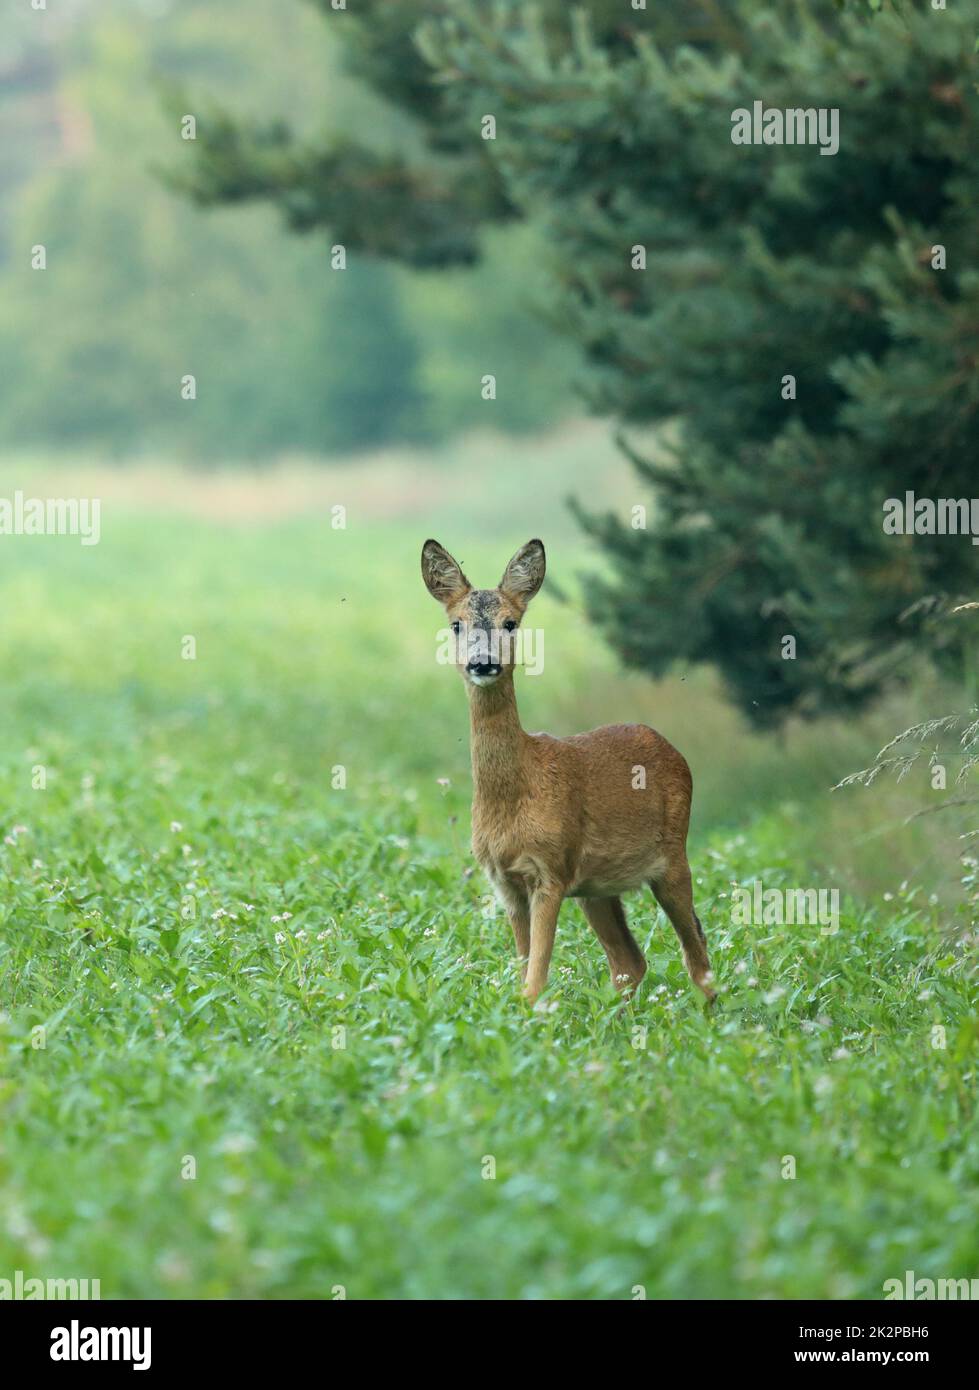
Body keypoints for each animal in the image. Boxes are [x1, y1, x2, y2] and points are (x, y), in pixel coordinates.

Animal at [421, 537, 716, 1006]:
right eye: (455, 625)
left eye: (510, 623)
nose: (483, 663)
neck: (515, 793)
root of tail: (670, 747)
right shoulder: (504, 882)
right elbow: (524, 972)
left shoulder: (550, 869)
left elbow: (534, 982)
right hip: (598, 887)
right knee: (630, 963)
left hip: (673, 856)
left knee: (697, 955)